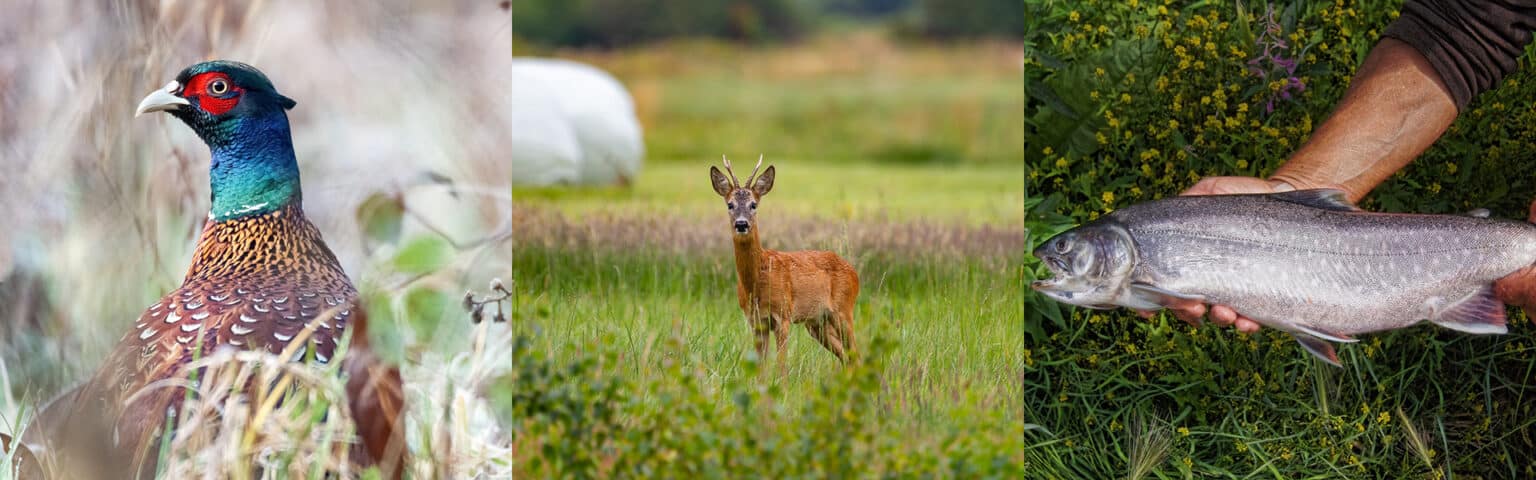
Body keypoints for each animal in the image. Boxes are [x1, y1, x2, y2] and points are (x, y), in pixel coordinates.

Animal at [709, 155, 860, 375]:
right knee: (847, 356)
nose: (741, 224)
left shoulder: (783, 315)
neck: (758, 280)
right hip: (817, 323)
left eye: (753, 204)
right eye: (730, 204)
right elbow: (761, 368)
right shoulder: (756, 322)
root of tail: (854, 273)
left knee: (856, 353)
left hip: (843, 310)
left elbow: (781, 365)